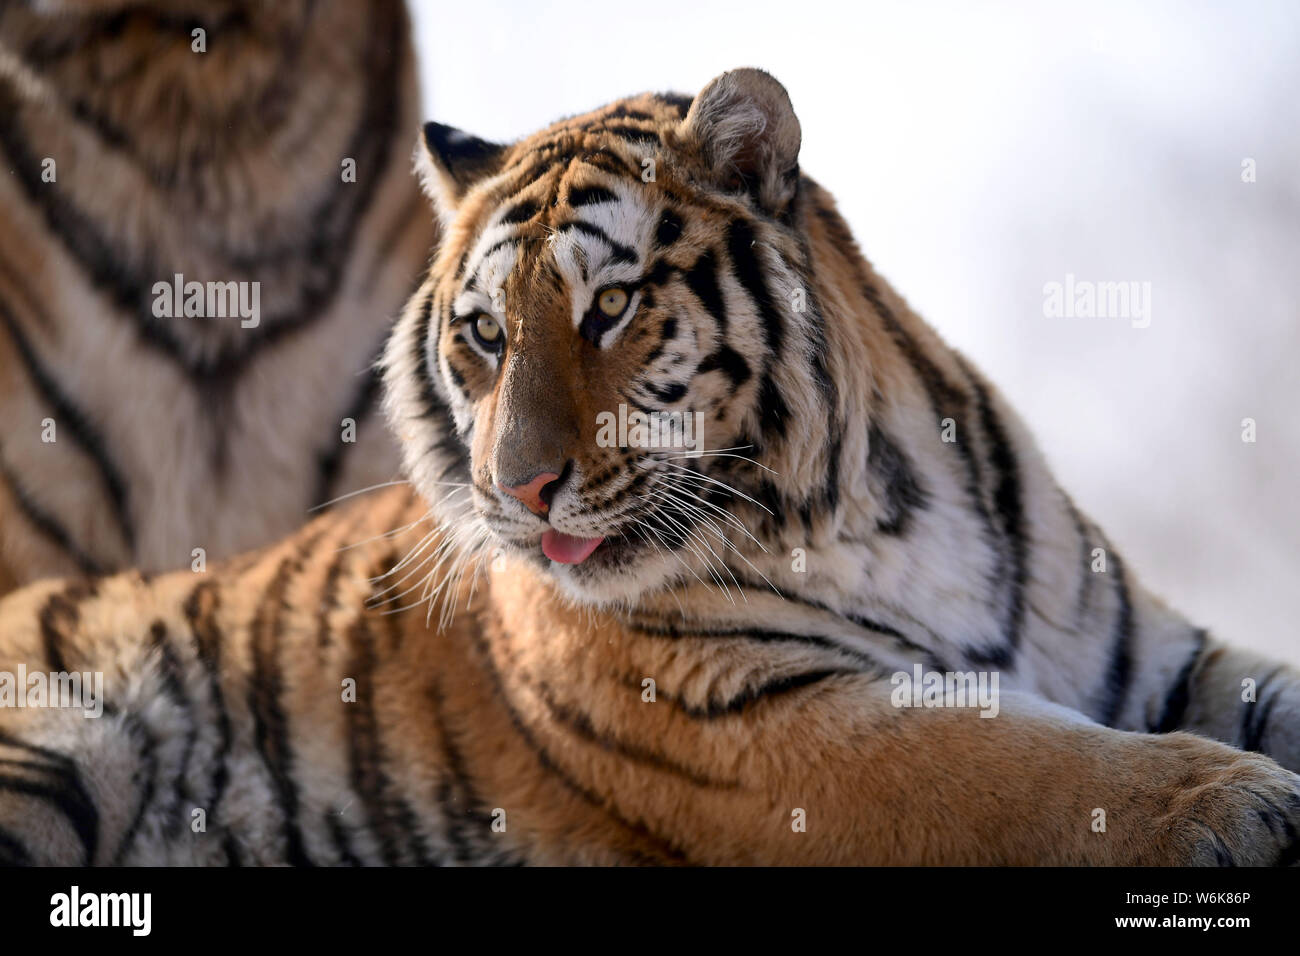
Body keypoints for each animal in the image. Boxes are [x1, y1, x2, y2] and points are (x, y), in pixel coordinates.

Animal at [0, 67, 1297, 866]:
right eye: (486, 333)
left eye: (611, 306)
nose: (517, 488)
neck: (877, 504)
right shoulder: (763, 717)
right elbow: (1022, 763)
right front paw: (1236, 803)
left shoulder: (1150, 651)